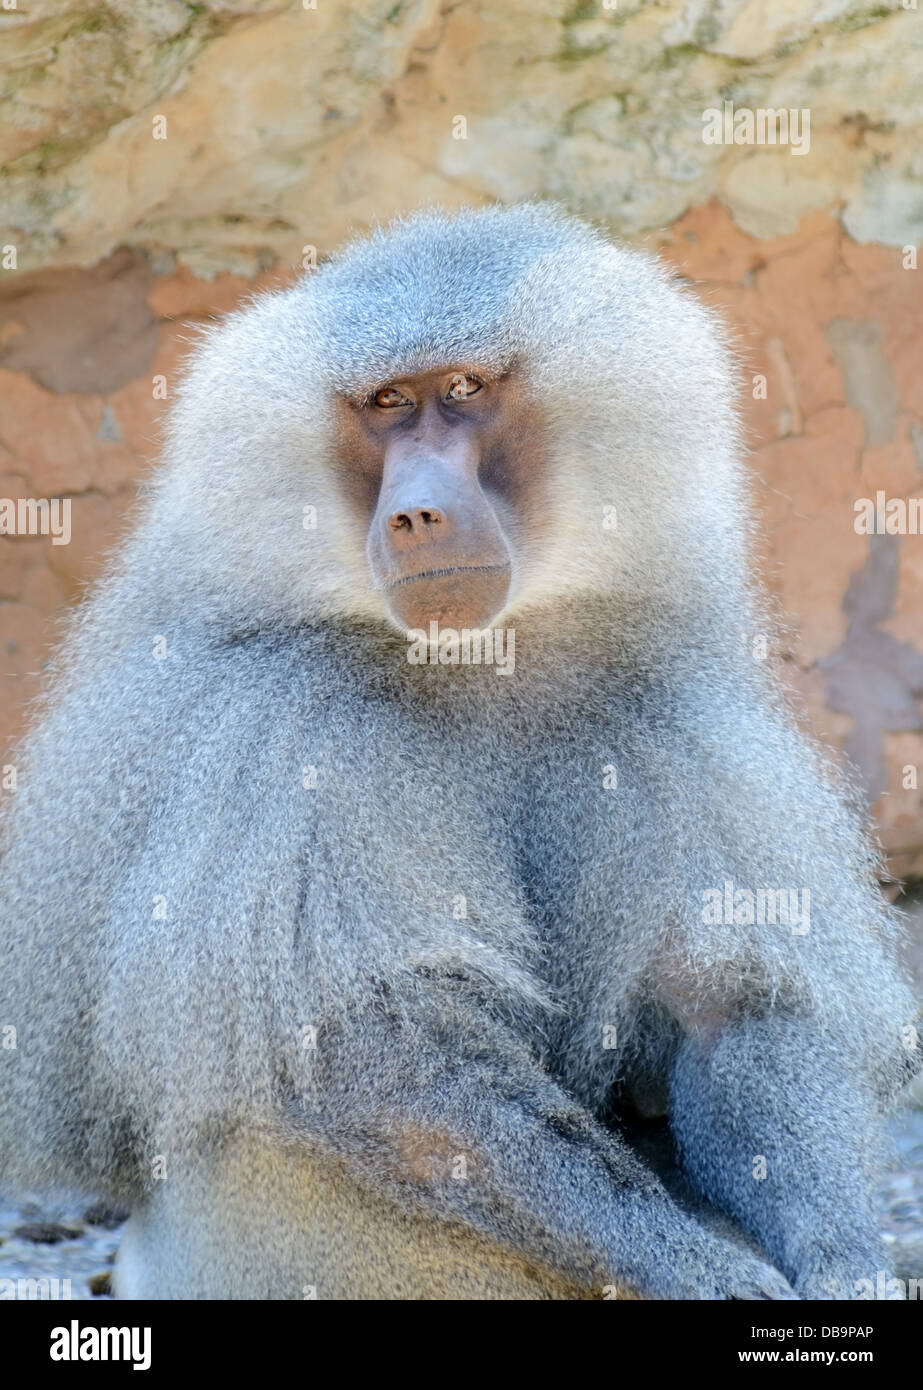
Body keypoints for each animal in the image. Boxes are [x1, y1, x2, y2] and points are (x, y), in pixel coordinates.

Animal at [0, 203, 918, 1300]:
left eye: (464, 392)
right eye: (387, 403)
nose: (415, 514)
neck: (488, 659)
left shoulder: (658, 709)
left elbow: (730, 1007)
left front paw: (842, 1267)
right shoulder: (286, 726)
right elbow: (371, 1041)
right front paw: (704, 1272)